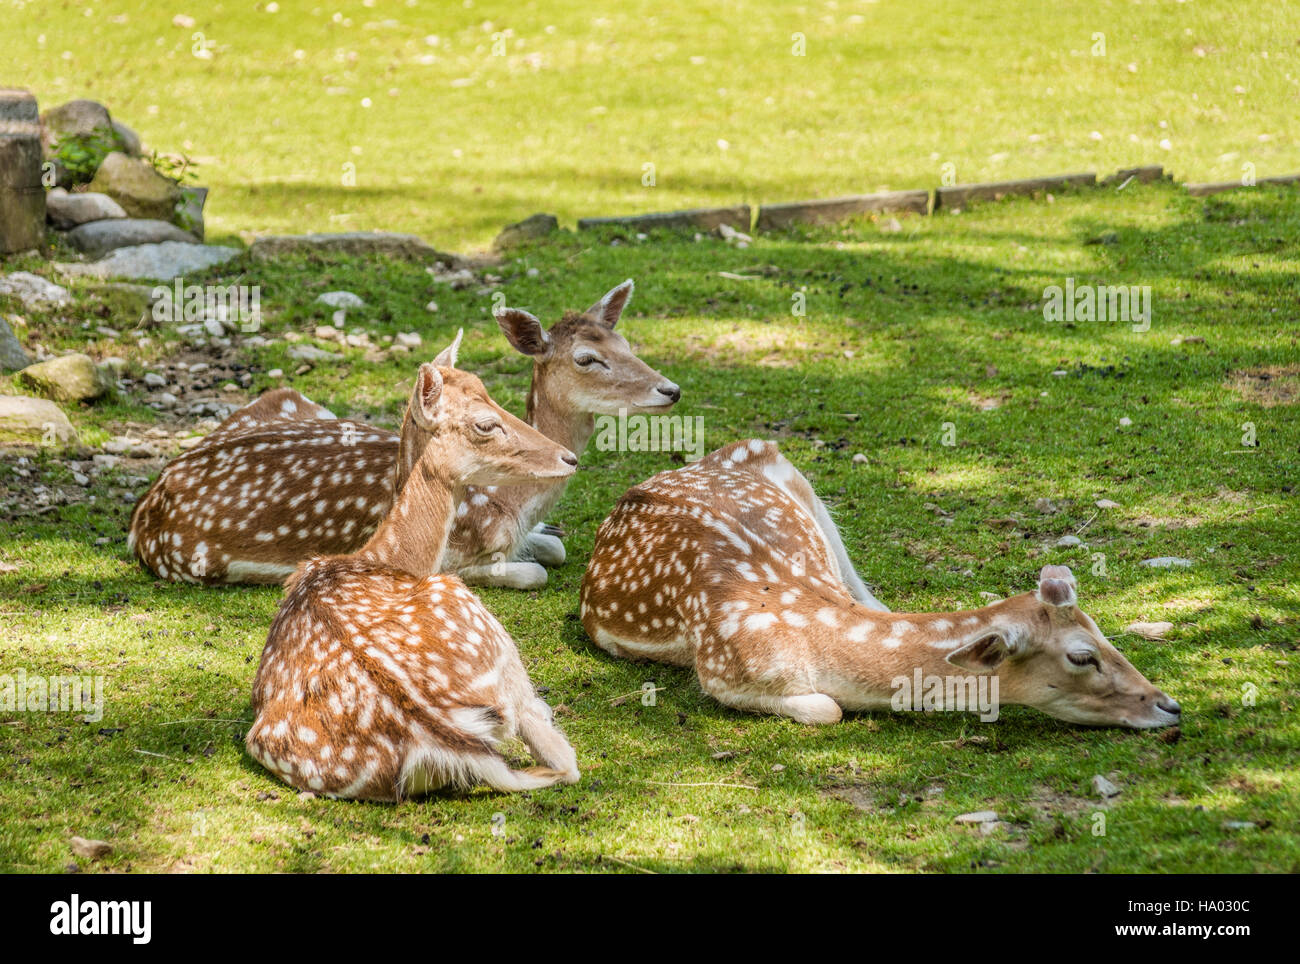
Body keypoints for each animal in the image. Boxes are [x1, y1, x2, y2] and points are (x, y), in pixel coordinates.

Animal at [128, 280, 680, 588]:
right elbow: (534, 572)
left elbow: (554, 549)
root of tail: (142, 512)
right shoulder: (453, 555)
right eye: (587, 358)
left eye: (627, 343)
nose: (670, 389)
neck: (508, 508)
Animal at [246, 341, 582, 800]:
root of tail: (436, 735)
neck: (385, 558)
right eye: (485, 423)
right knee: (562, 758)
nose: (569, 458)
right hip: (483, 628)